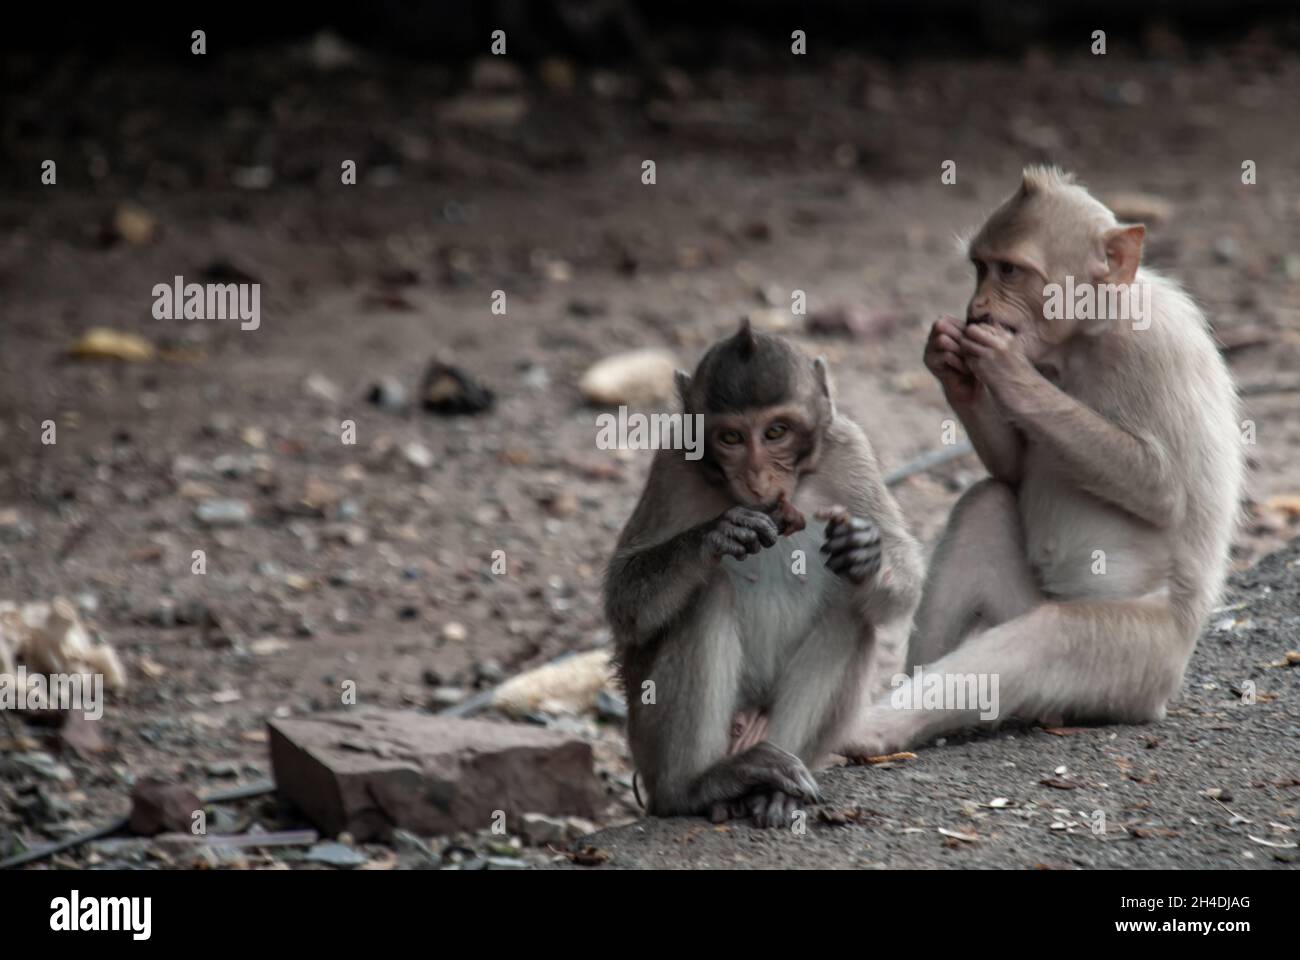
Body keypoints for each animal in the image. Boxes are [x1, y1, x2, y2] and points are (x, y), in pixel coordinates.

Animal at [604, 320, 922, 827]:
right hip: (649, 743)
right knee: (706, 595)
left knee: (851, 613)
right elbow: (624, 602)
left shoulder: (850, 450)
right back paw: (696, 787)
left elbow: (903, 588)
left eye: (776, 432)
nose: (757, 478)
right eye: (731, 438)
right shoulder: (672, 465)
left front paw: (867, 553)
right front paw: (714, 536)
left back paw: (773, 789)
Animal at [841, 166, 1244, 758]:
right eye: (980, 268)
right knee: (983, 508)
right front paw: (953, 366)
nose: (977, 308)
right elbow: (1011, 473)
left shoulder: (1156, 347)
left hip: (1138, 661)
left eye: (1010, 271)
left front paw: (1003, 368)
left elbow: (1165, 490)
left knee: (1047, 638)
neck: (1088, 334)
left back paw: (869, 730)